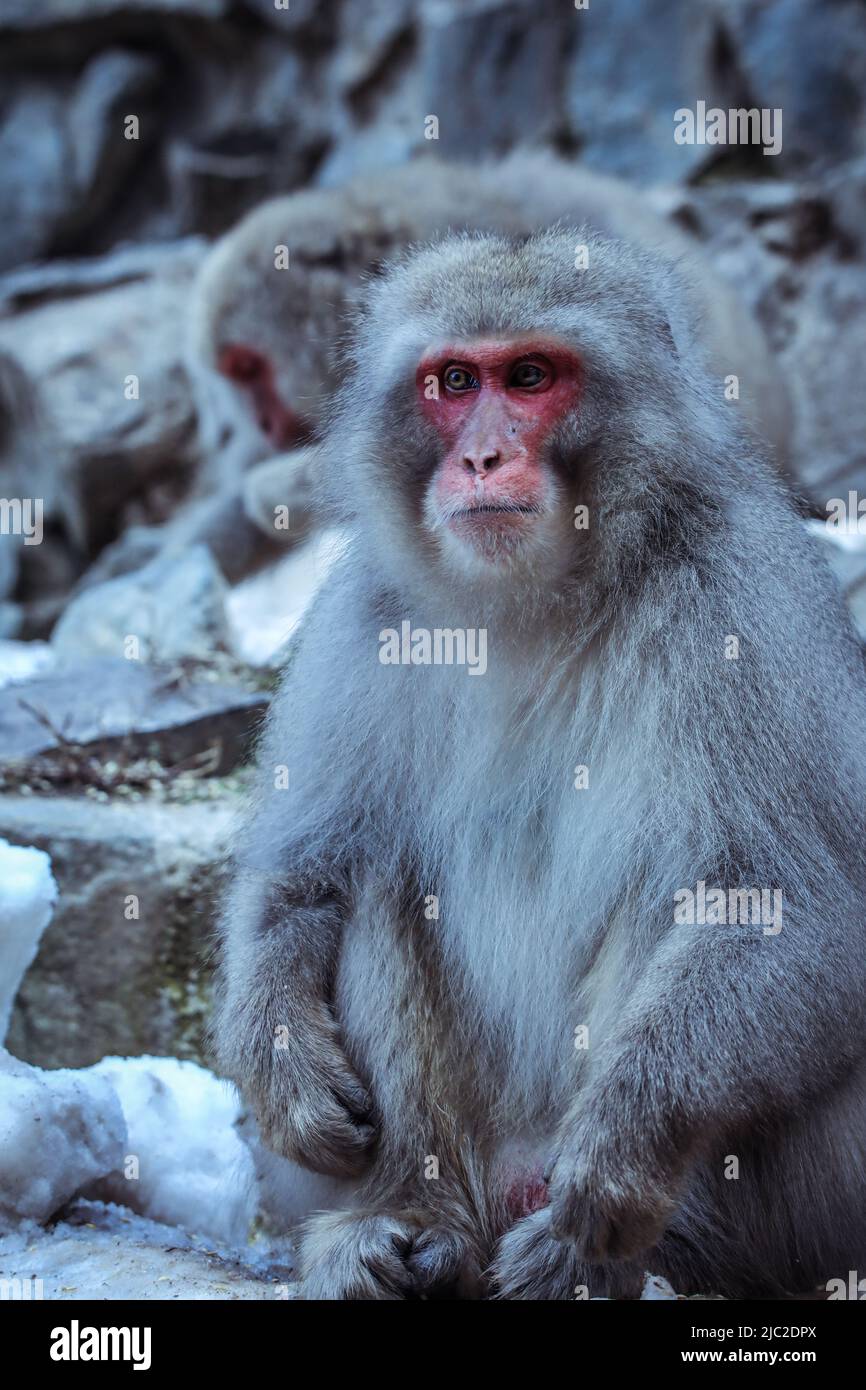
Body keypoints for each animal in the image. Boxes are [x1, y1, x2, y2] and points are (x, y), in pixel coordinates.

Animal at [212, 227, 866, 1300]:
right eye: (453, 381)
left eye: (529, 378)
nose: (481, 455)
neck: (534, 599)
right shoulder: (364, 615)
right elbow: (303, 872)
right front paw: (281, 1063)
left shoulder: (740, 601)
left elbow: (792, 911)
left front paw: (621, 1155)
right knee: (374, 876)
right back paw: (408, 1225)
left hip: (794, 1205)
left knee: (667, 887)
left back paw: (590, 1258)